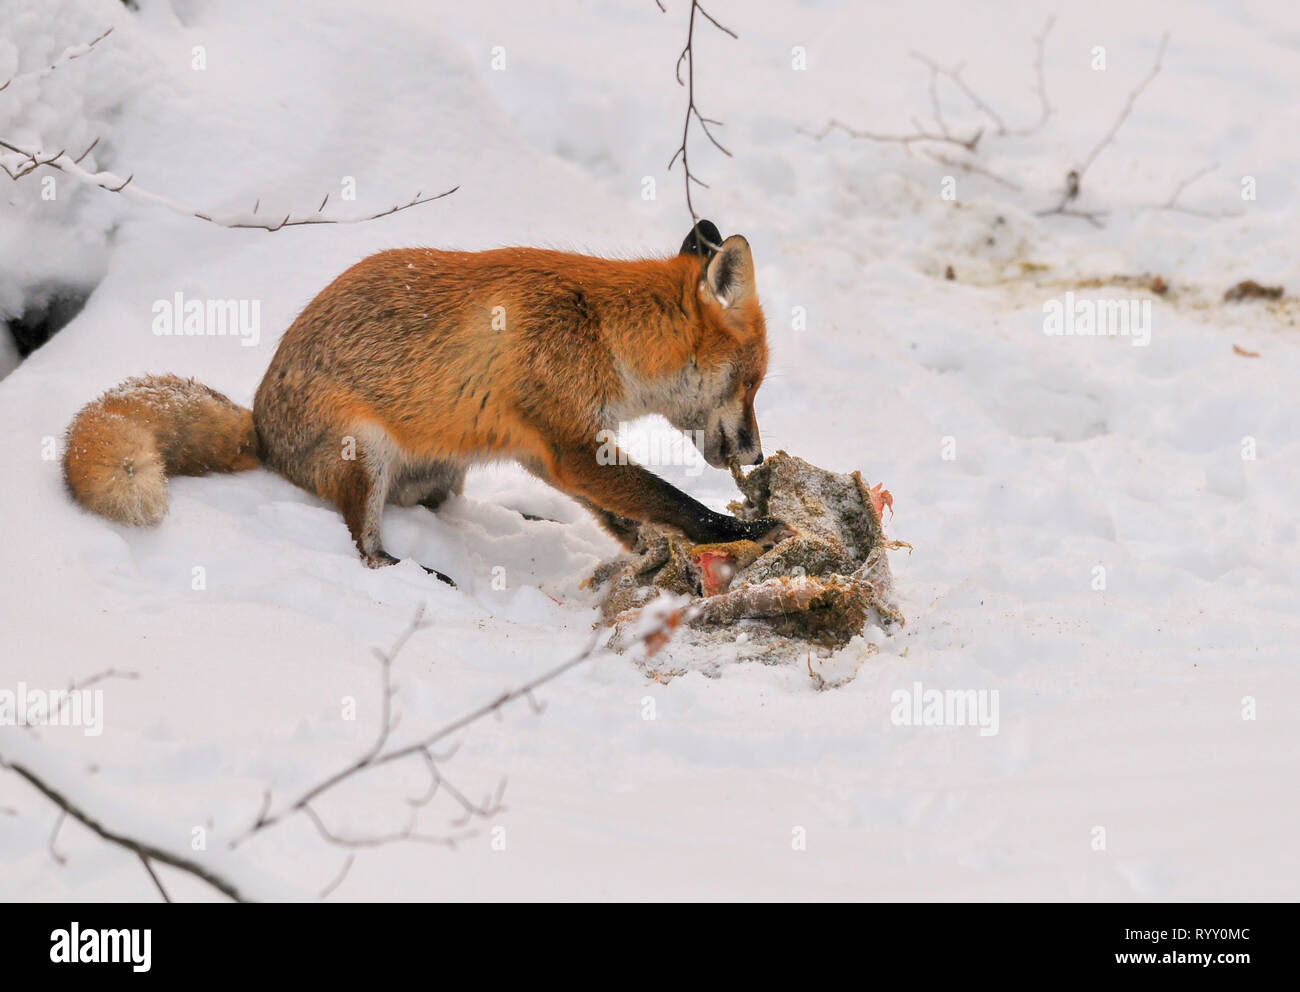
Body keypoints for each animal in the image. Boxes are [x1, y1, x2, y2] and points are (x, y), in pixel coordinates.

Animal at [61, 221, 790, 585]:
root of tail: (261, 427)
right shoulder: (571, 447)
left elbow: (628, 515)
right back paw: (405, 570)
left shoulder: (547, 449)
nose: (757, 454)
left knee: (444, 510)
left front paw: (653, 548)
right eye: (752, 382)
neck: (602, 330)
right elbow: (672, 499)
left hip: (443, 471)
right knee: (362, 544)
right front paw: (748, 531)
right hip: (365, 449)